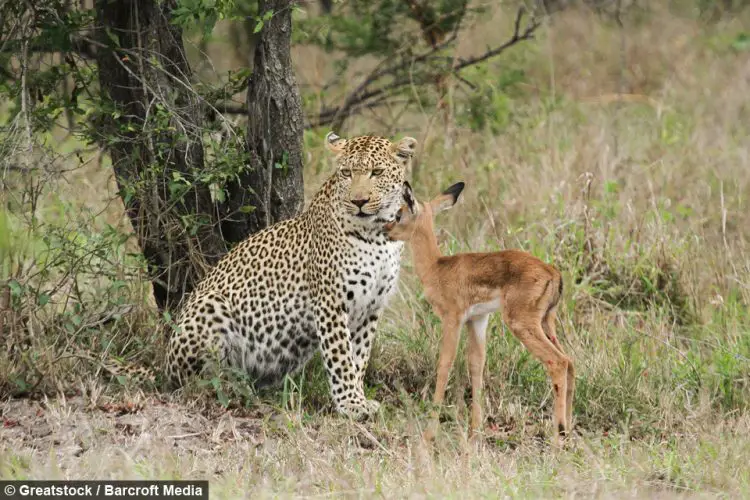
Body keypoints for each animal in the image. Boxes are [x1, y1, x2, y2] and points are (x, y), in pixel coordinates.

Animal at [163, 132, 418, 419]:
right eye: (346, 173)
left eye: (377, 172)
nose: (359, 202)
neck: (378, 235)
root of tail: (165, 366)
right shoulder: (331, 302)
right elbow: (341, 358)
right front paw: (351, 405)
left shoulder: (372, 307)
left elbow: (359, 357)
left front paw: (359, 398)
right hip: (211, 306)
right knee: (198, 380)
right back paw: (234, 388)